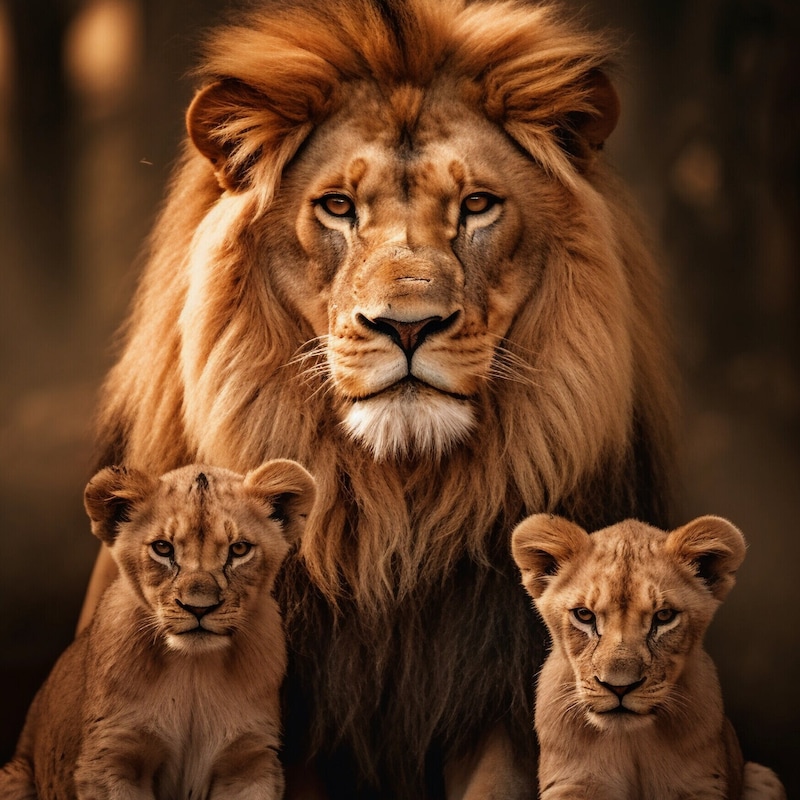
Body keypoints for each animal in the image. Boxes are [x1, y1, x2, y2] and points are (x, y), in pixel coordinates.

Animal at [1, 460, 316, 800]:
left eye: (240, 549)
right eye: (163, 548)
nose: (199, 608)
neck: (194, 669)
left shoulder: (249, 760)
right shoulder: (113, 755)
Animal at [511, 514, 786, 800]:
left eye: (664, 616)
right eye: (584, 615)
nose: (619, 687)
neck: (631, 741)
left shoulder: (701, 784)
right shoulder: (573, 783)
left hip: (763, 776)